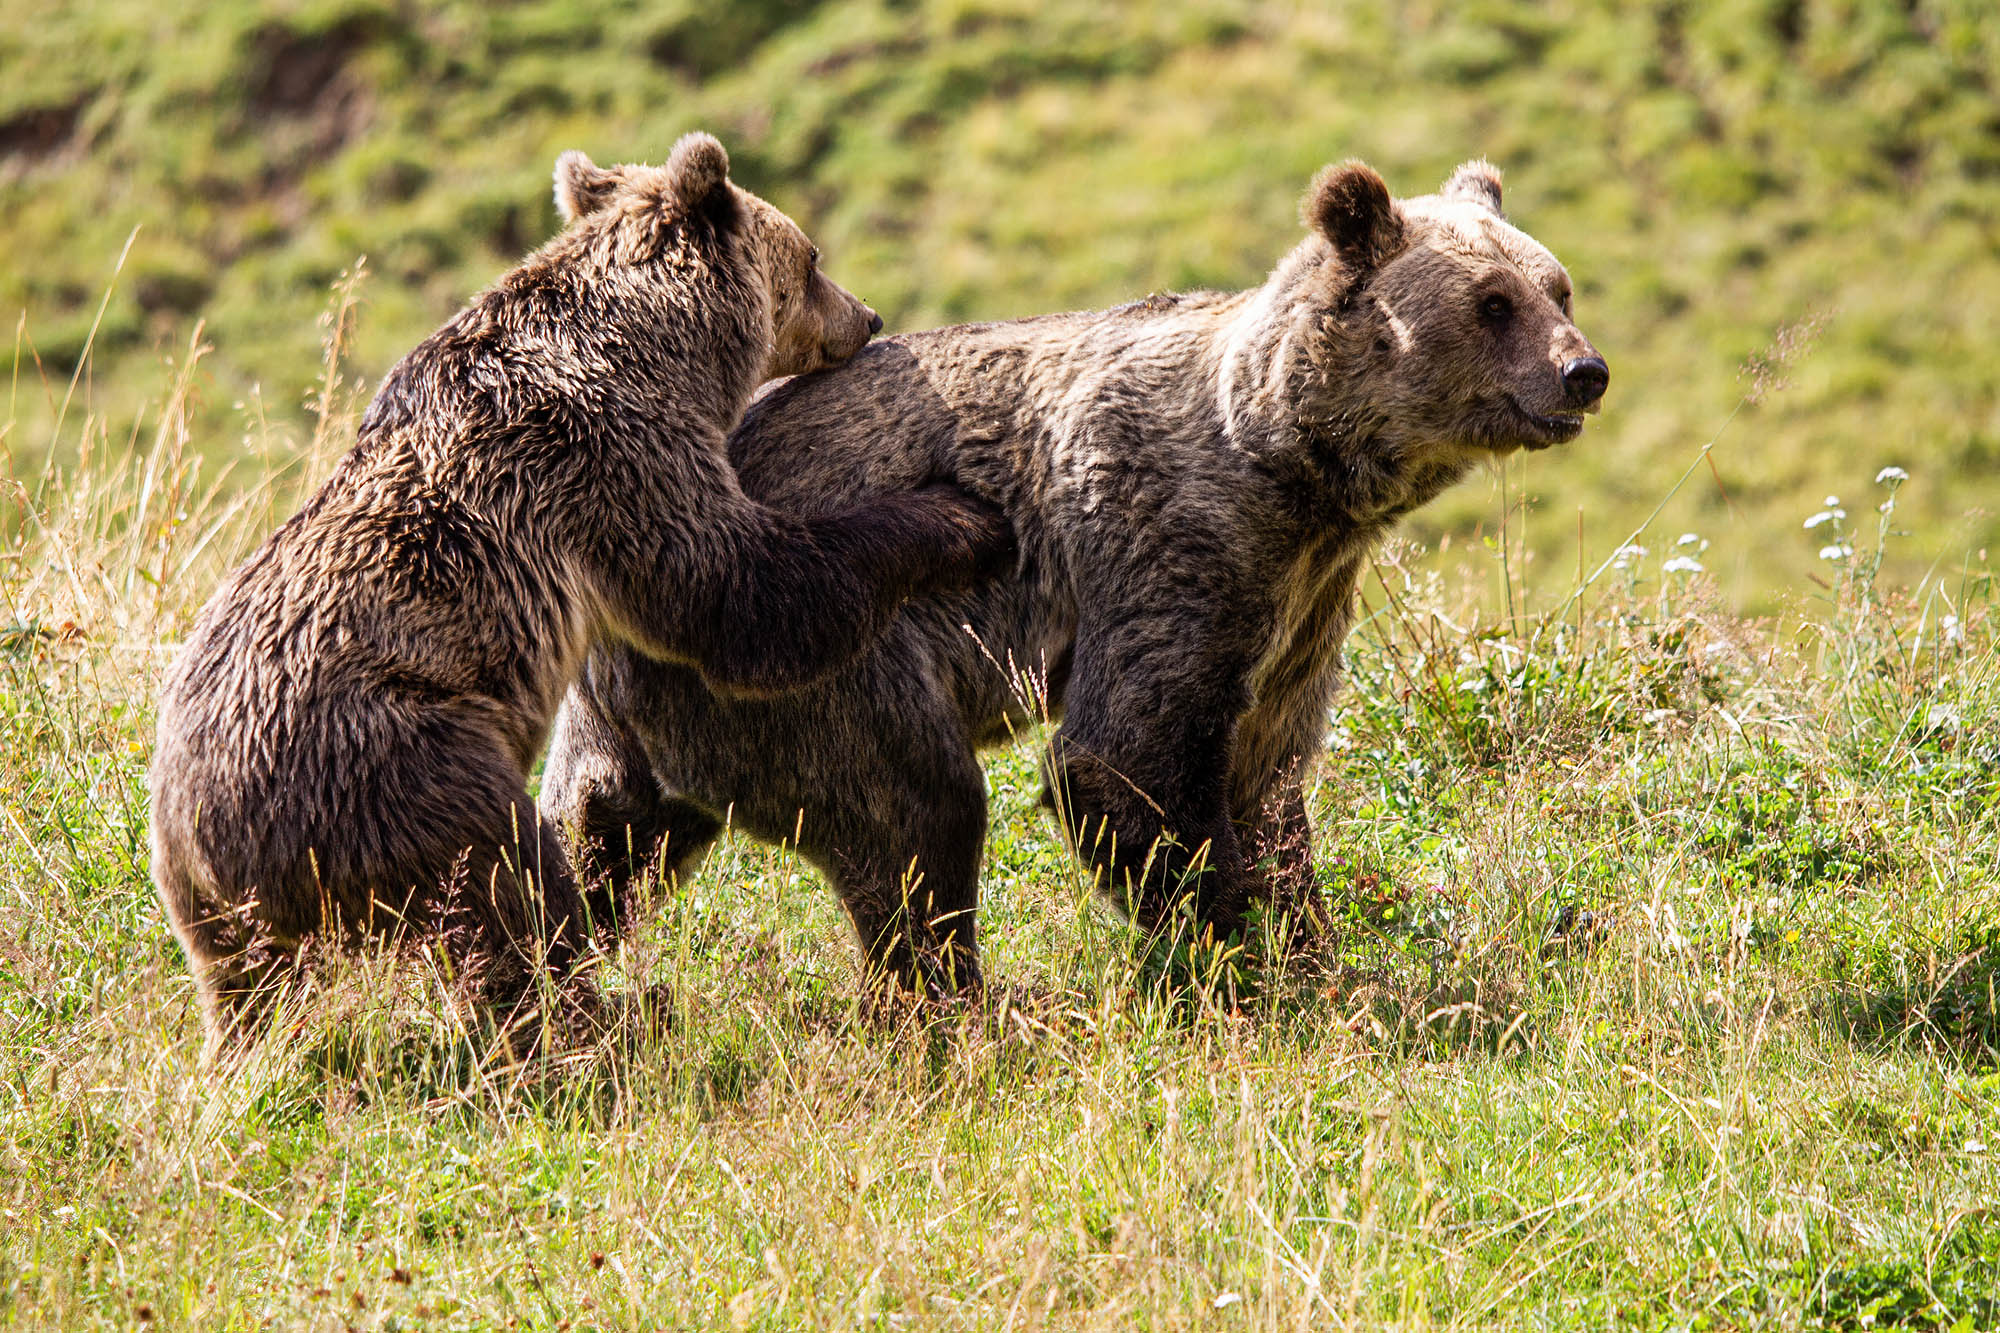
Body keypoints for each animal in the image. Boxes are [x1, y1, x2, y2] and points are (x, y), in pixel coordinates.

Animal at [149, 131, 1013, 1056]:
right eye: (812, 256)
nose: (869, 315)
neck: (658, 345)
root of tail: (205, 840)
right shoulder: (608, 457)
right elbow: (740, 593)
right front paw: (958, 516)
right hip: (387, 762)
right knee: (507, 883)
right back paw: (613, 1012)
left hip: (218, 904)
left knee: (254, 990)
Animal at [540, 158, 1608, 993]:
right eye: (1493, 303)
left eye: (1557, 287)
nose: (1583, 372)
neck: (1290, 464)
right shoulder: (1167, 538)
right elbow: (1126, 758)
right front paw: (1245, 955)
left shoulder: (1302, 597)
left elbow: (1268, 770)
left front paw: (1307, 938)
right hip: (820, 657)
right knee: (916, 816)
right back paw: (960, 1008)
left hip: (638, 715)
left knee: (597, 834)